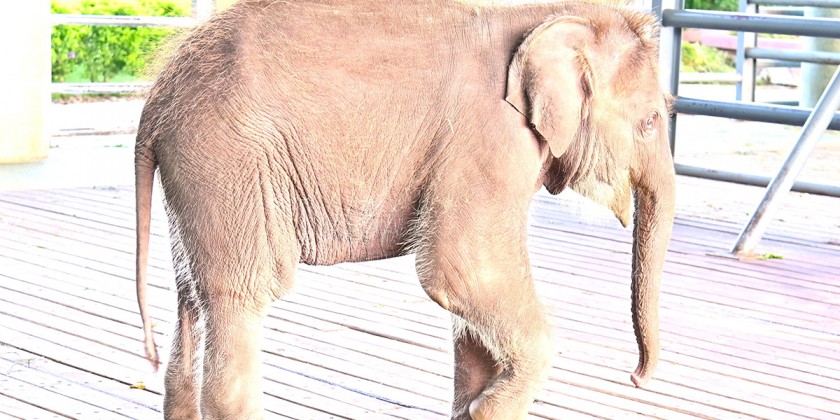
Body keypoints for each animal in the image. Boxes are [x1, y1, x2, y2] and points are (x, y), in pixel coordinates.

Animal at [133, 0, 675, 419]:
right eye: (650, 121)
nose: (637, 377)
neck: (547, 14)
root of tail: (156, 99)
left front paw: (472, 405)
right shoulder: (488, 138)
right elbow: (462, 268)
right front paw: (486, 408)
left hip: (198, 176)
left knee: (189, 304)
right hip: (226, 160)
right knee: (239, 297)